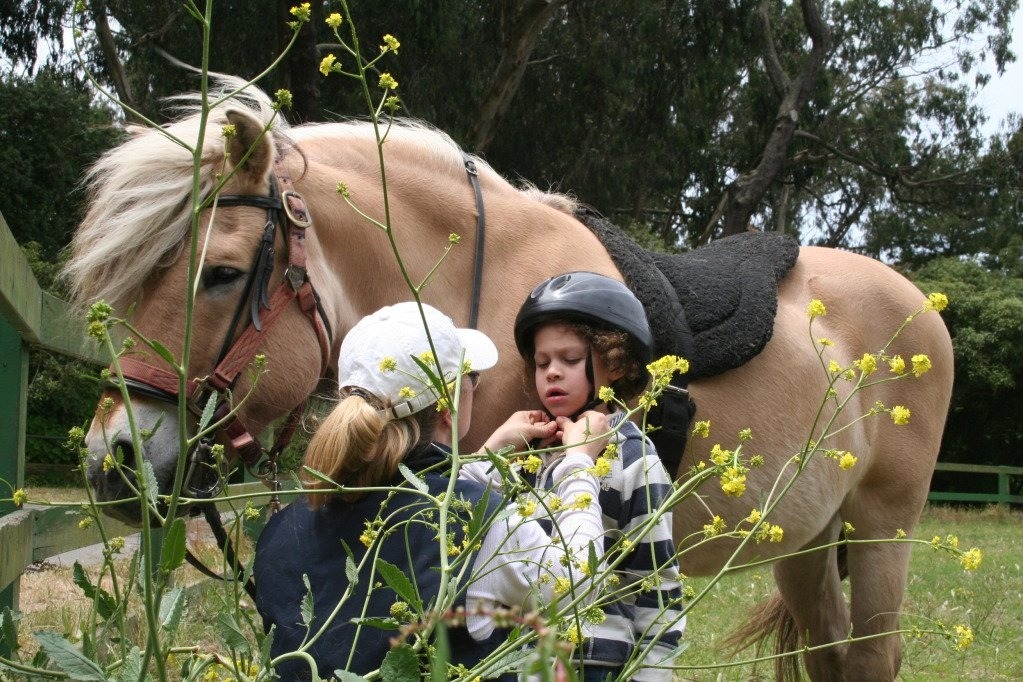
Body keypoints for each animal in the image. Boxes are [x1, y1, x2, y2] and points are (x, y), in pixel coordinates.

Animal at [66, 83, 954, 681]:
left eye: (218, 274)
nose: (113, 460)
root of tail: (918, 307)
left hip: (881, 532)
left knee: (871, 655)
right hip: (808, 543)